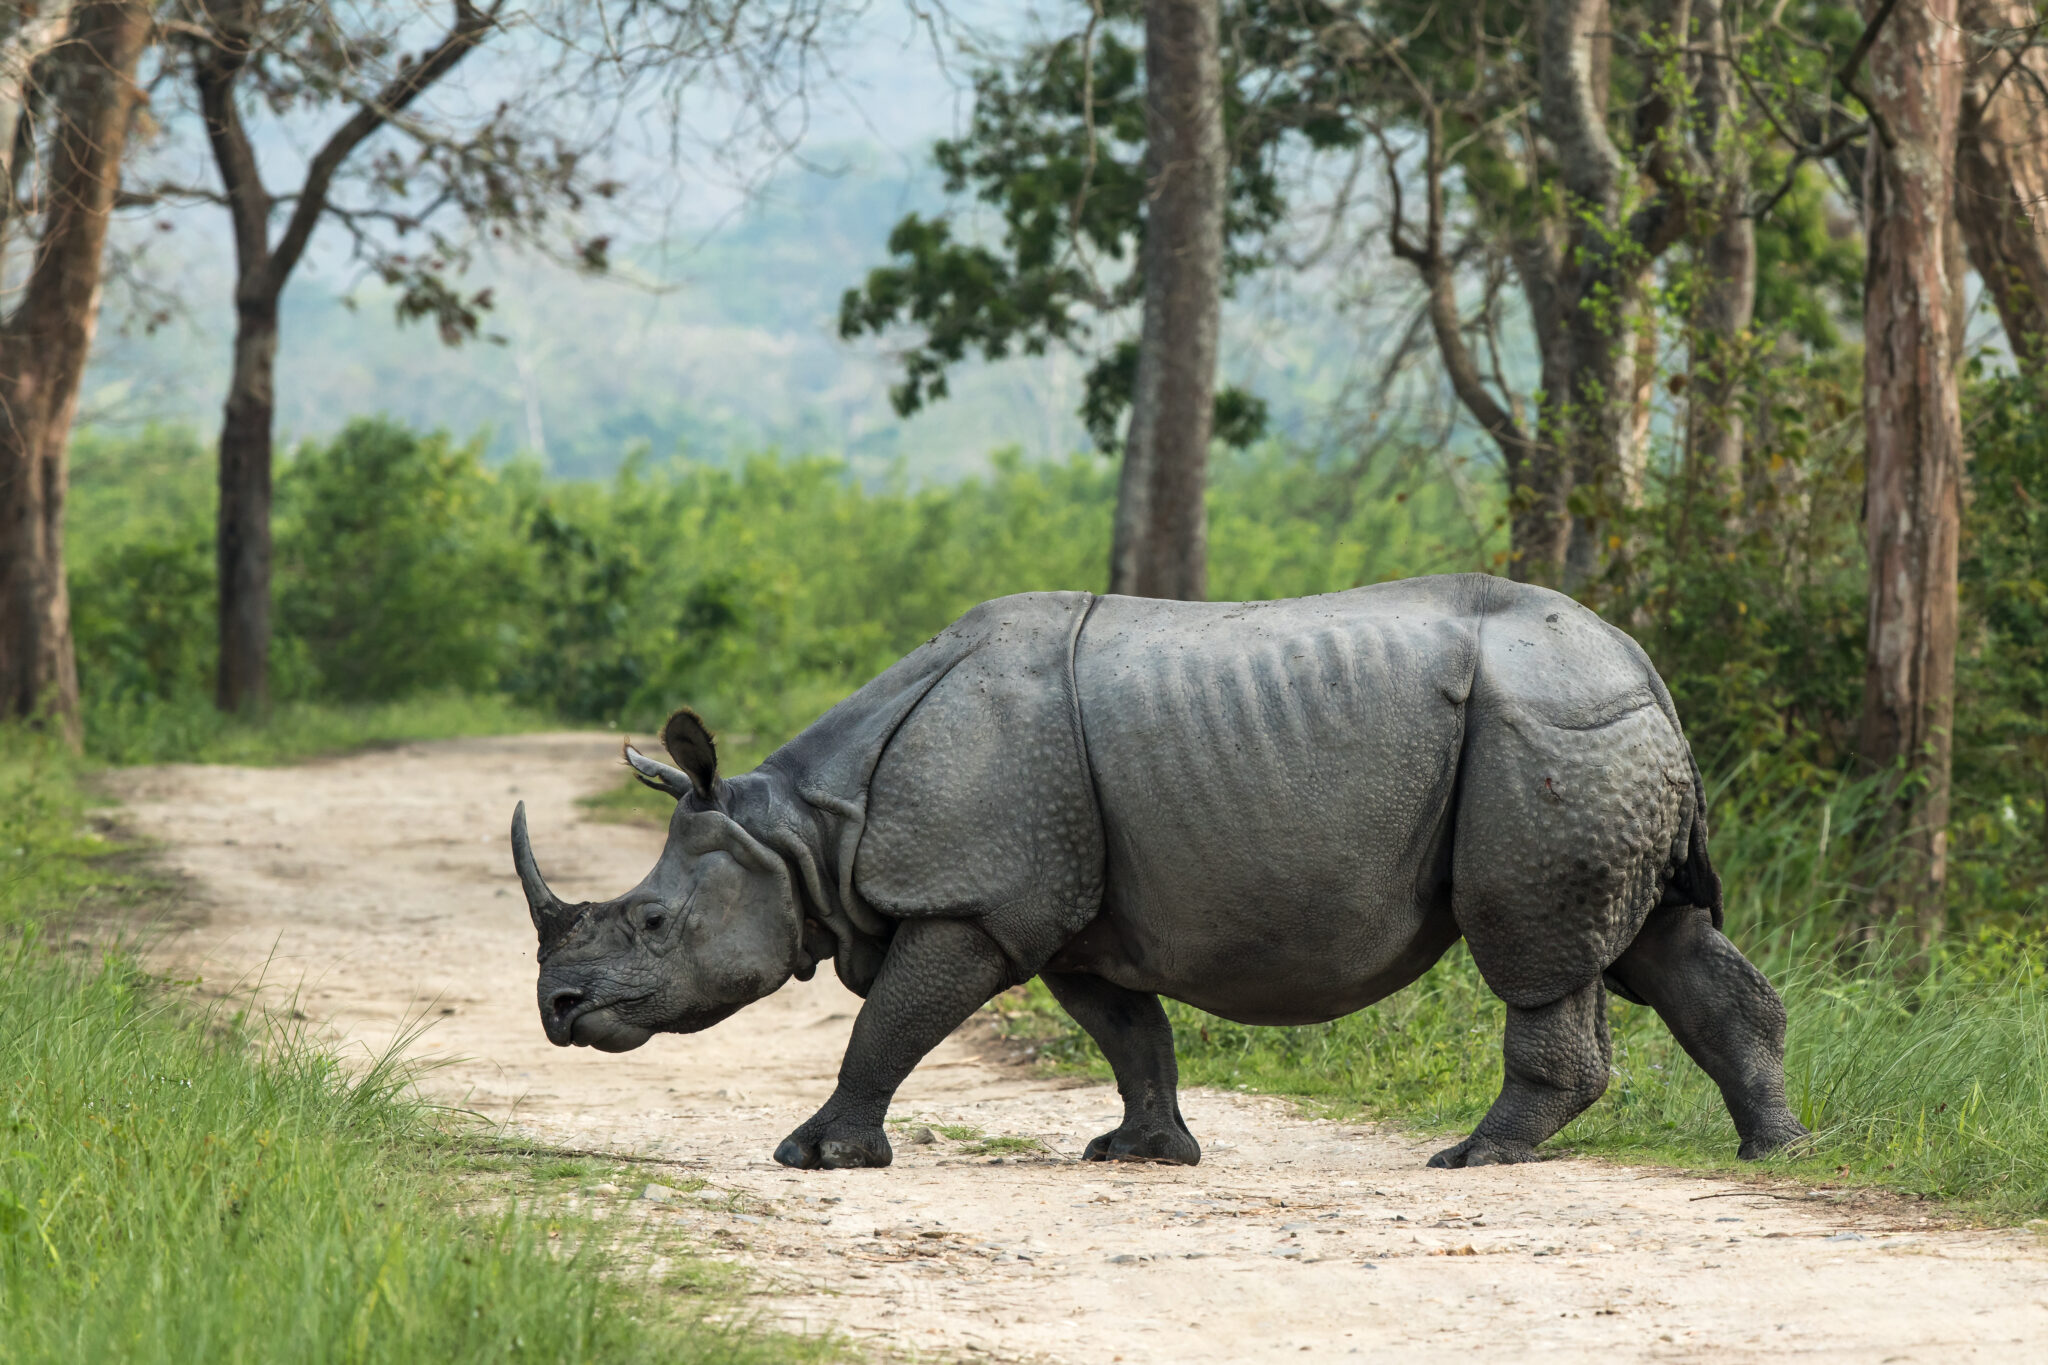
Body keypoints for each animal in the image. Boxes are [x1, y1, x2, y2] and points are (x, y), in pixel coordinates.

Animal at [512, 574, 1808, 1170]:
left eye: (651, 924)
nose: (558, 1010)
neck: (803, 835)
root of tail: (1639, 662)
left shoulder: (976, 902)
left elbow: (888, 1026)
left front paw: (817, 1157)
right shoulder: (1066, 910)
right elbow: (1126, 1029)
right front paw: (1141, 1154)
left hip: (1551, 733)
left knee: (1539, 951)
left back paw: (1474, 1157)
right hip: (1597, 740)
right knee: (1662, 943)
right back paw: (1776, 1150)